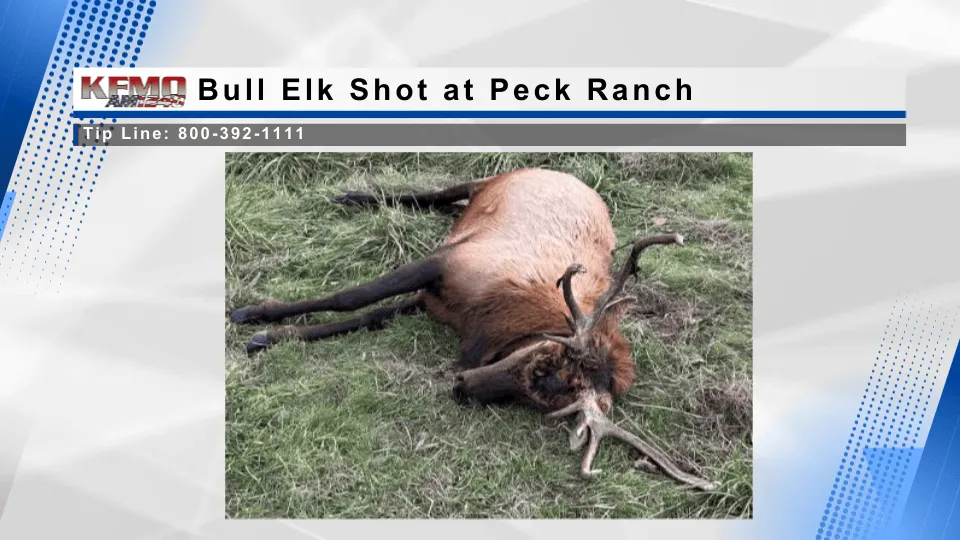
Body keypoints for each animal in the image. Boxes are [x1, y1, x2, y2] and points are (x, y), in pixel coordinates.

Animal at [229, 167, 717, 491]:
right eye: (539, 363)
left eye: (541, 403)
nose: (462, 385)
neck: (487, 320)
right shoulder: (443, 265)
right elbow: (349, 297)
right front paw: (252, 315)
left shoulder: (432, 302)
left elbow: (361, 317)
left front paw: (272, 336)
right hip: (488, 179)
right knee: (438, 192)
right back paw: (353, 196)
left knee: (449, 205)